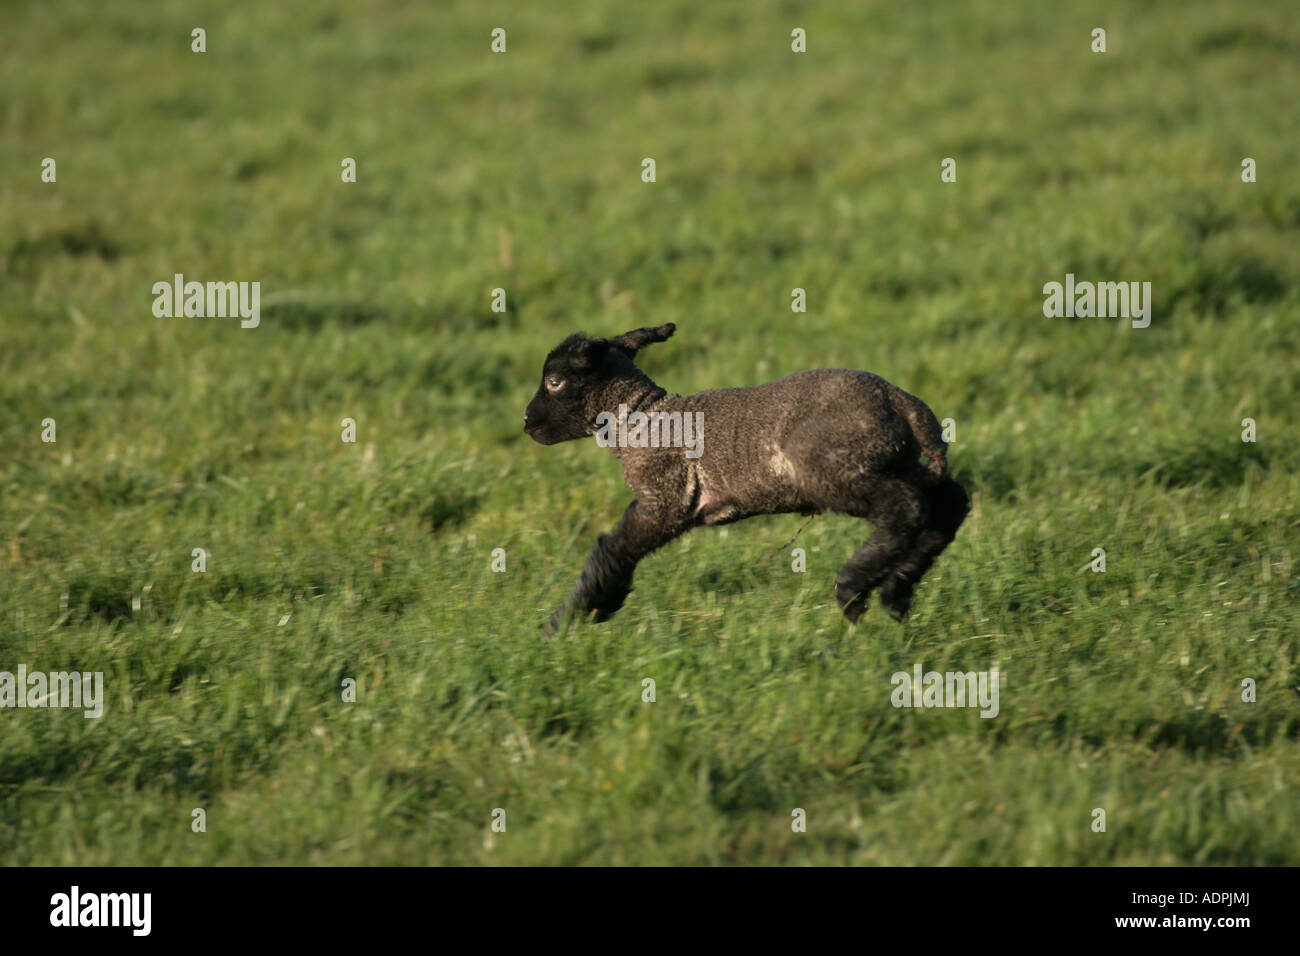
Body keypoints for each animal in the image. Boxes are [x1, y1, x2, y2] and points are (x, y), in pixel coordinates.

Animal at [523, 324, 968, 633]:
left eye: (555, 382)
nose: (526, 422)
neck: (640, 418)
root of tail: (904, 404)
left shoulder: (663, 501)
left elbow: (610, 550)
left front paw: (562, 624)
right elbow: (619, 554)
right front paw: (596, 610)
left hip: (834, 469)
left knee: (905, 507)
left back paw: (855, 588)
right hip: (895, 462)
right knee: (947, 506)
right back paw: (898, 591)